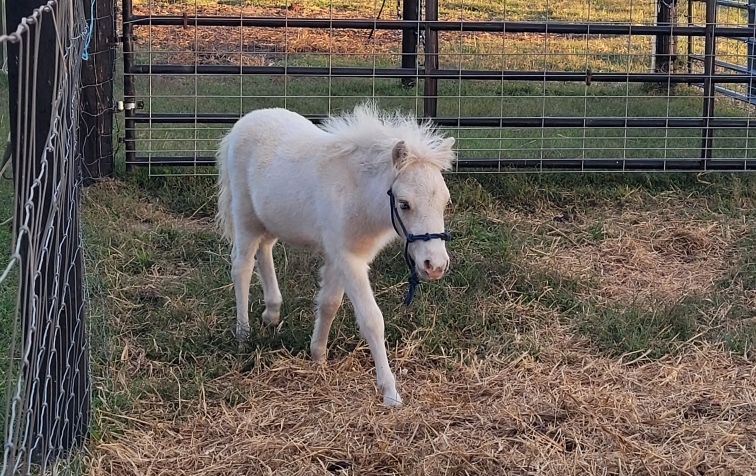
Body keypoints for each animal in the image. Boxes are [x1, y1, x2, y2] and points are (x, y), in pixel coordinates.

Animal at [215, 103, 456, 407]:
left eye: (445, 201)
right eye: (404, 204)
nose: (434, 265)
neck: (355, 192)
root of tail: (243, 122)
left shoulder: (341, 255)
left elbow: (329, 303)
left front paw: (317, 355)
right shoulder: (348, 258)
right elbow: (371, 319)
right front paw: (390, 392)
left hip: (269, 219)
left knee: (265, 249)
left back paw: (272, 312)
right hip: (245, 217)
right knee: (241, 267)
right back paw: (243, 334)